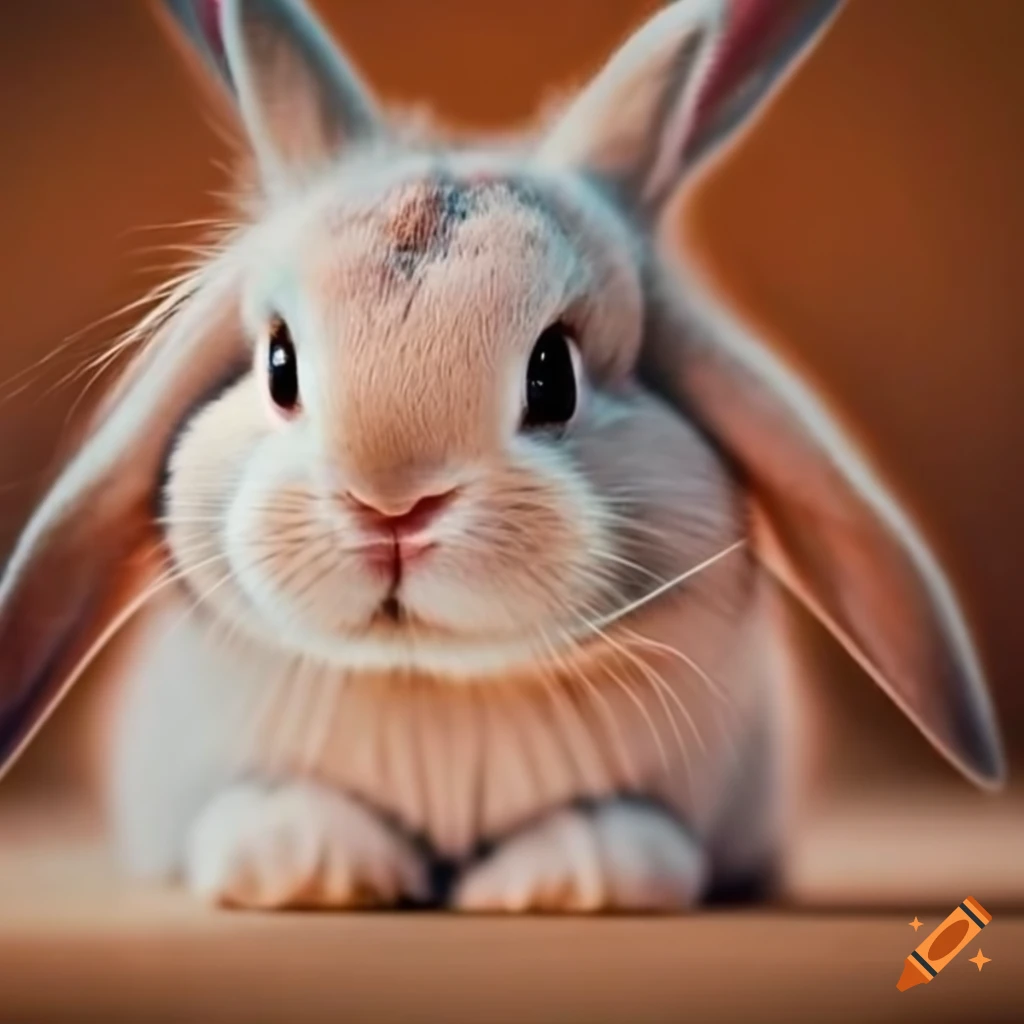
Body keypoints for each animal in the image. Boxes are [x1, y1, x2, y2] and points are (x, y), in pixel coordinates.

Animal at [0, 0, 1004, 913]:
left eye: (554, 375)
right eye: (278, 364)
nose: (390, 504)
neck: (433, 686)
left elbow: (641, 843)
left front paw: (565, 881)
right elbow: (254, 819)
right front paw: (315, 867)